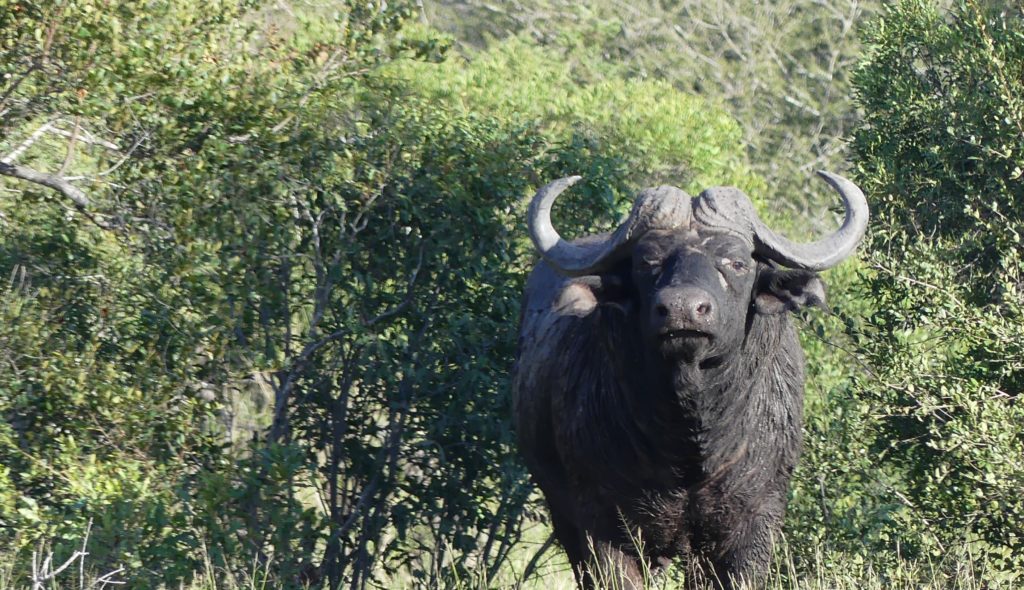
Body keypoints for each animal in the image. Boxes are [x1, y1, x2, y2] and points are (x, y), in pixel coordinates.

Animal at [512, 172, 867, 589]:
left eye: (737, 262)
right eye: (647, 260)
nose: (682, 308)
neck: (690, 439)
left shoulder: (752, 526)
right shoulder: (602, 526)